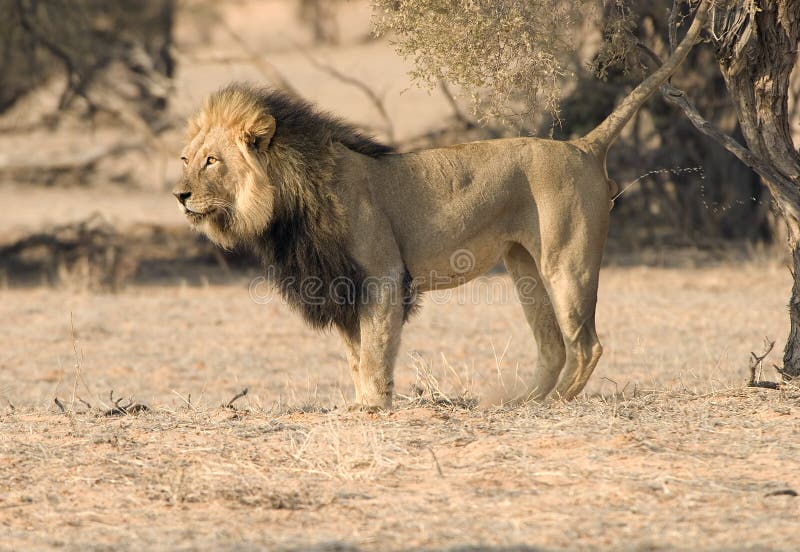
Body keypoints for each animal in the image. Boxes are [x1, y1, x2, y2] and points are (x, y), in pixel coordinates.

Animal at [173, 2, 709, 409]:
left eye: (212, 161)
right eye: (185, 159)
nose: (179, 195)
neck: (287, 204)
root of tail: (582, 145)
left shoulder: (383, 277)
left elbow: (375, 352)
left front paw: (375, 408)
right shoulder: (338, 284)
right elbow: (355, 356)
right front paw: (360, 404)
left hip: (567, 262)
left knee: (586, 344)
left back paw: (554, 403)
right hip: (524, 266)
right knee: (554, 346)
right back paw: (520, 403)